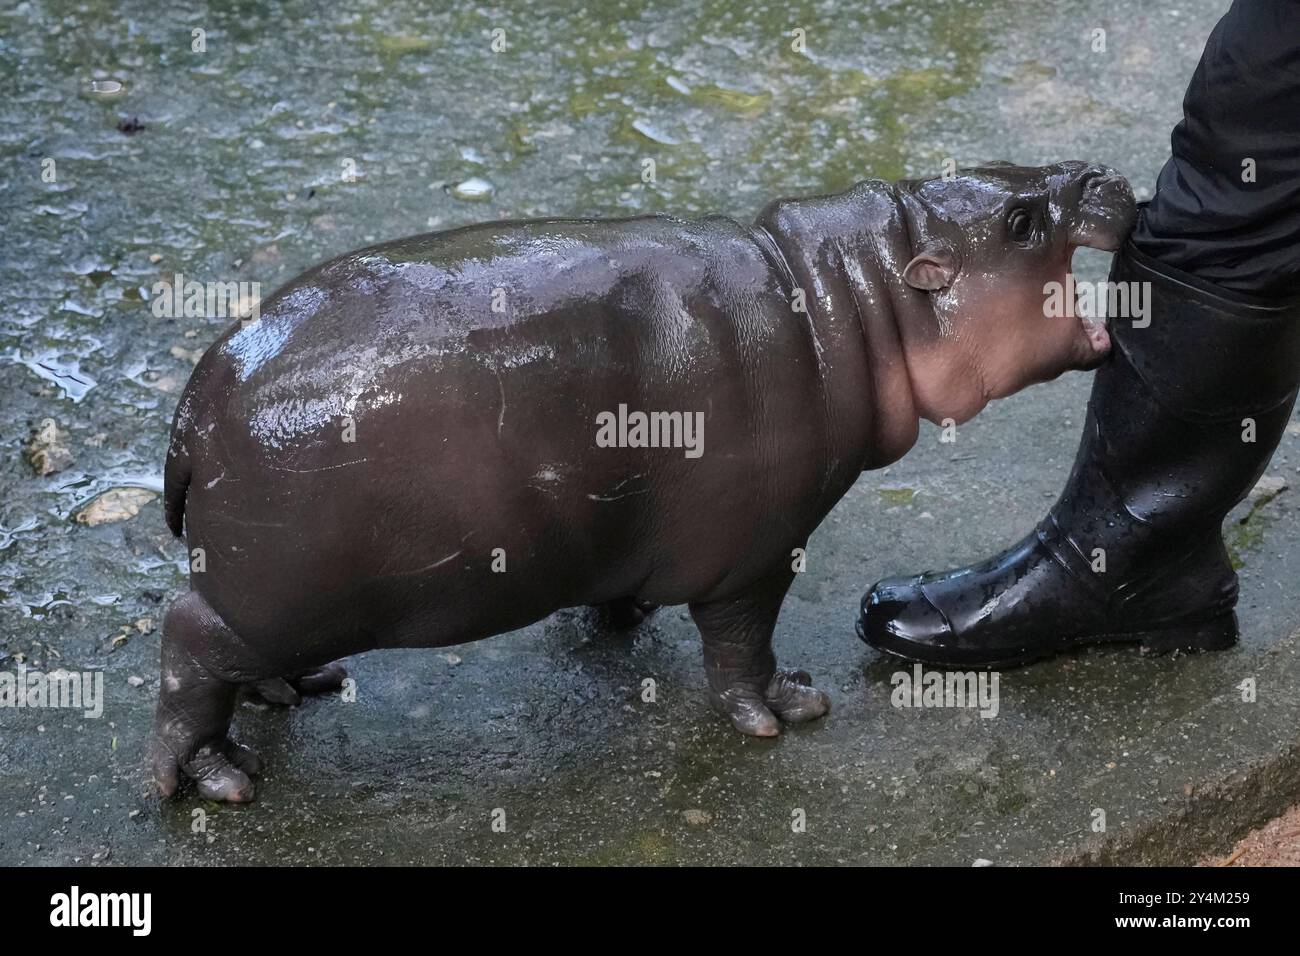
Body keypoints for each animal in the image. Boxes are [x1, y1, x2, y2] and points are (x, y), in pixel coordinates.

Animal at [150, 161, 1136, 801]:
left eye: (1000, 170)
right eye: (1020, 221)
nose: (1103, 171)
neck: (851, 299)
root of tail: (198, 405)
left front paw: (620, 618)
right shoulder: (760, 551)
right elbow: (742, 646)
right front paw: (787, 710)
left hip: (274, 598)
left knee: (235, 661)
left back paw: (293, 691)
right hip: (264, 594)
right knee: (187, 645)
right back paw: (215, 781)